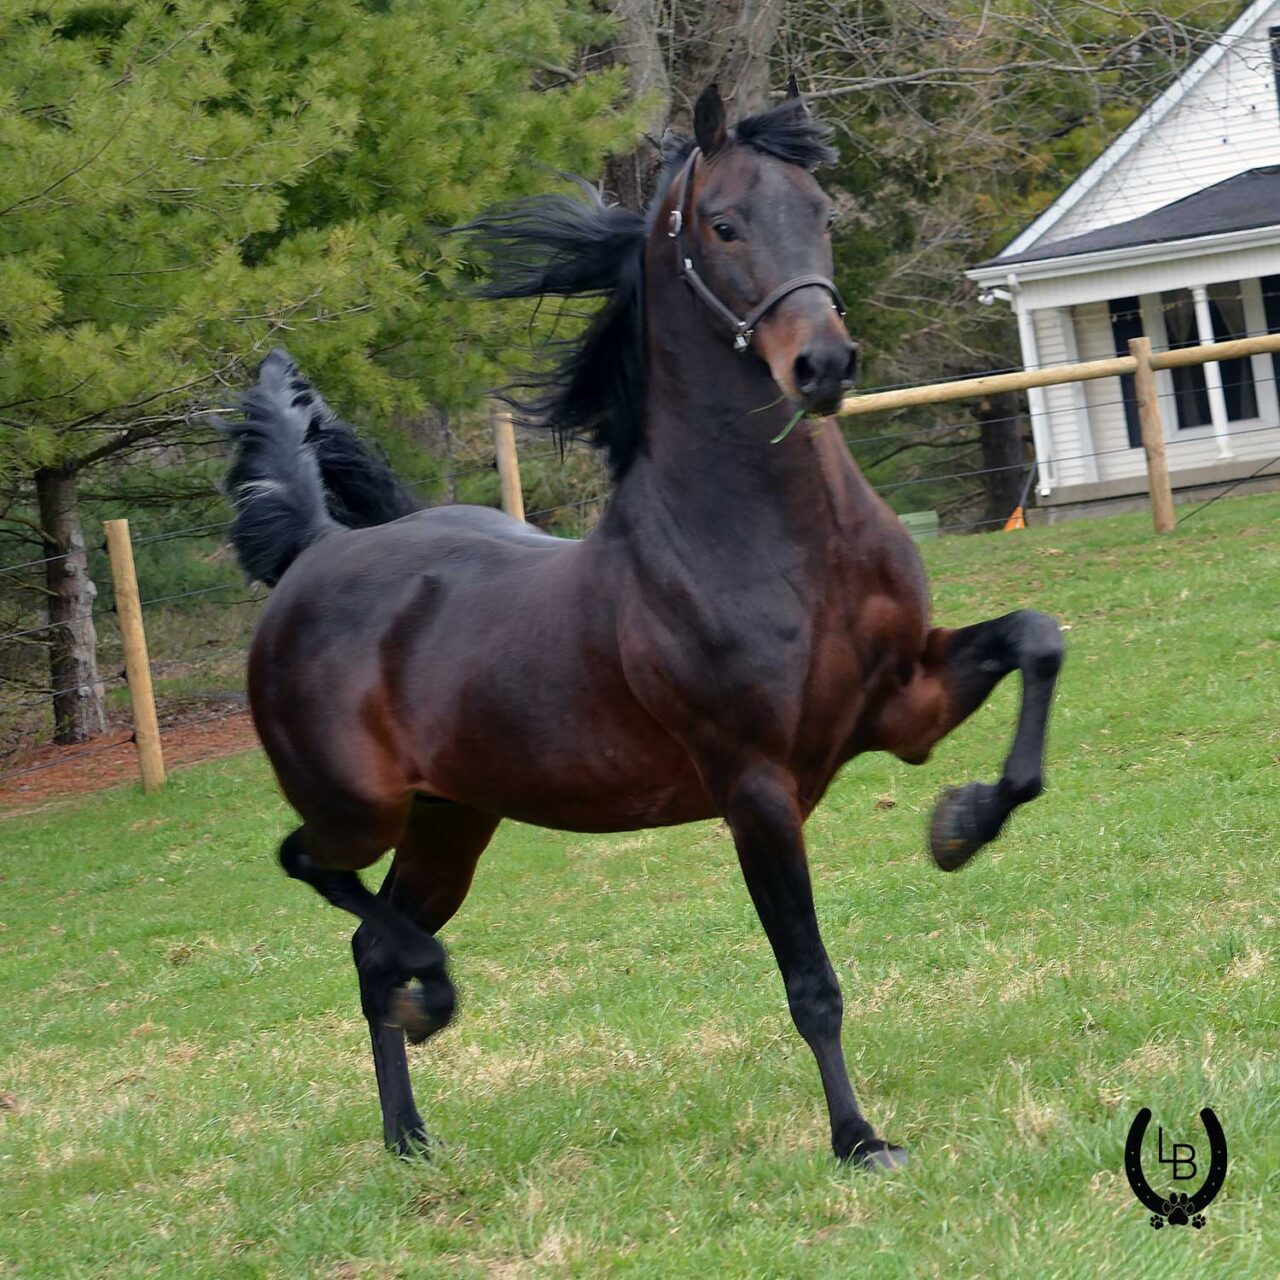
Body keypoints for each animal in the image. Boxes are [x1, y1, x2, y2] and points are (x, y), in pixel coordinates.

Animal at [221, 82, 1064, 1172]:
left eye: (821, 213)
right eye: (724, 224)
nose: (824, 364)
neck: (776, 541)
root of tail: (316, 552)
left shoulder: (903, 703)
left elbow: (1037, 642)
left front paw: (959, 825)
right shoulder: (754, 786)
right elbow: (810, 981)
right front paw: (858, 1138)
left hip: (453, 819)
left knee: (372, 944)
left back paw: (412, 1133)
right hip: (360, 807)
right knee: (316, 874)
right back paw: (432, 998)